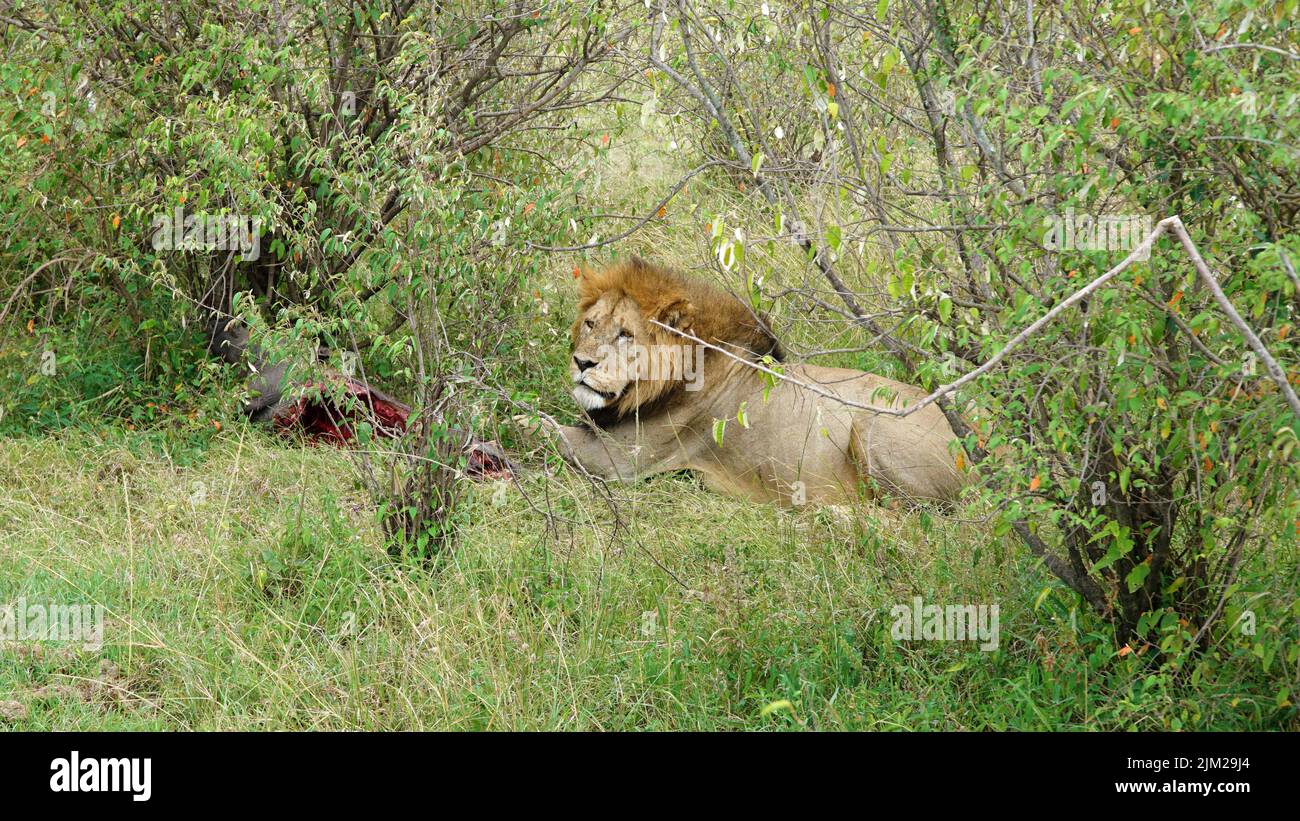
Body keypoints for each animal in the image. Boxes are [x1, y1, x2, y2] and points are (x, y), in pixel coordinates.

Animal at [520, 257, 966, 506]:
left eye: (626, 334)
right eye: (591, 324)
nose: (582, 362)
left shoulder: (620, 459)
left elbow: (540, 428)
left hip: (874, 427)